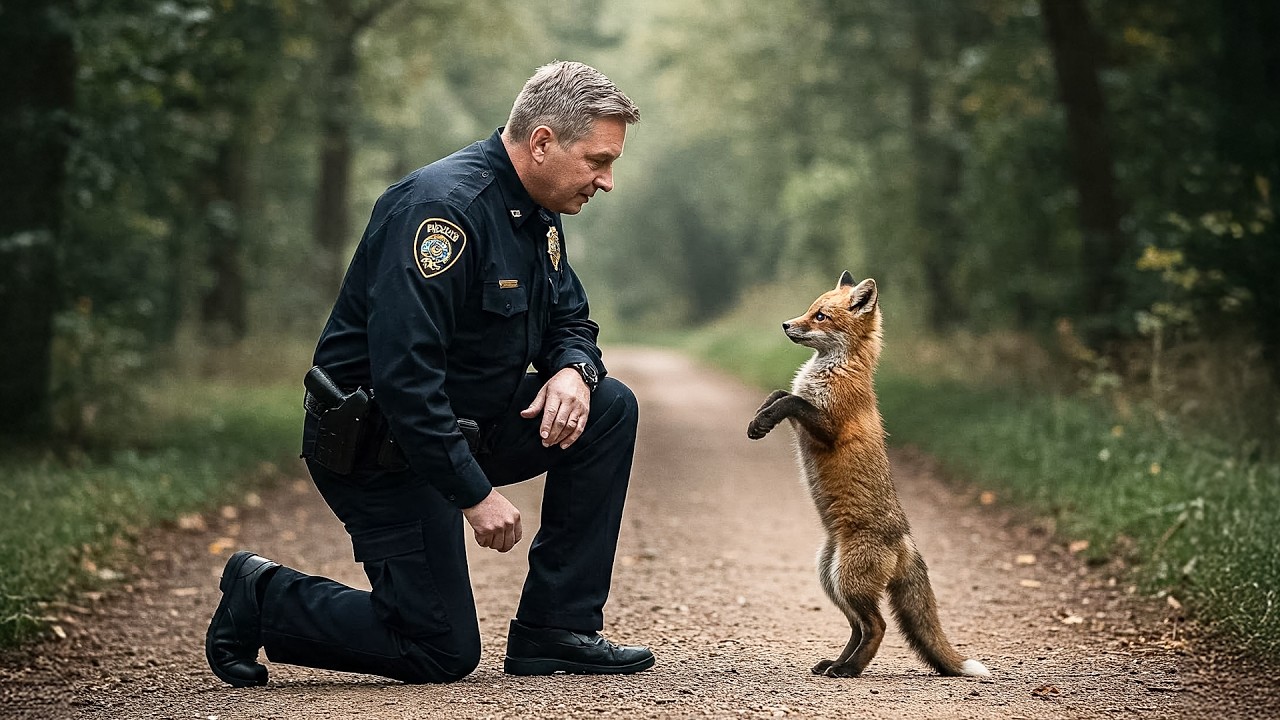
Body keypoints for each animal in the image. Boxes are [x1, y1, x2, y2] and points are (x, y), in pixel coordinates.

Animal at [747, 271, 990, 679]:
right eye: (811, 309)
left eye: (821, 316)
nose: (785, 324)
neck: (836, 369)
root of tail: (905, 539)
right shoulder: (803, 421)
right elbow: (780, 393)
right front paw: (758, 420)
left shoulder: (827, 426)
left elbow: (791, 400)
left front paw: (763, 420)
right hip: (831, 579)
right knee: (858, 628)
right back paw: (837, 664)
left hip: (848, 580)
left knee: (878, 626)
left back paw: (848, 670)